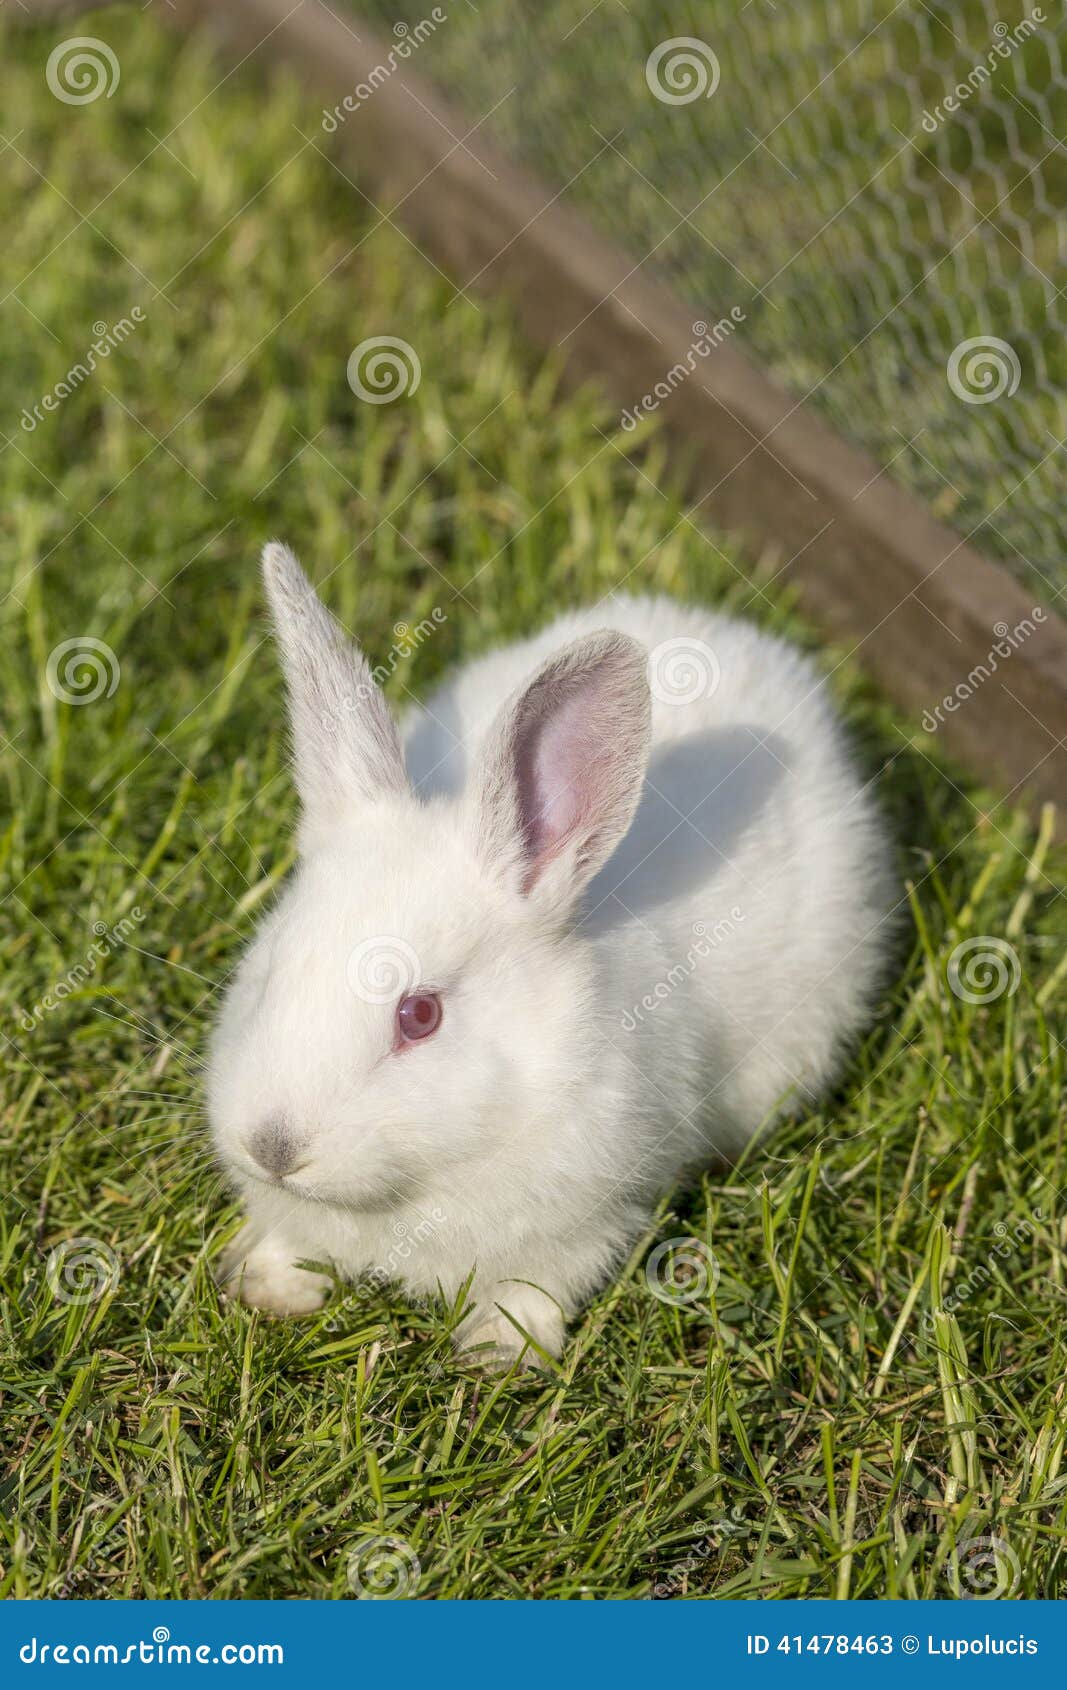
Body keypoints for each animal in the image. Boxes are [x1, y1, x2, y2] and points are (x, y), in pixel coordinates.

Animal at [209, 541, 895, 1365]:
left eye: (420, 1015)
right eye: (267, 973)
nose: (273, 1148)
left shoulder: (584, 1224)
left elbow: (536, 1289)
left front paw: (496, 1354)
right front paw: (265, 1287)